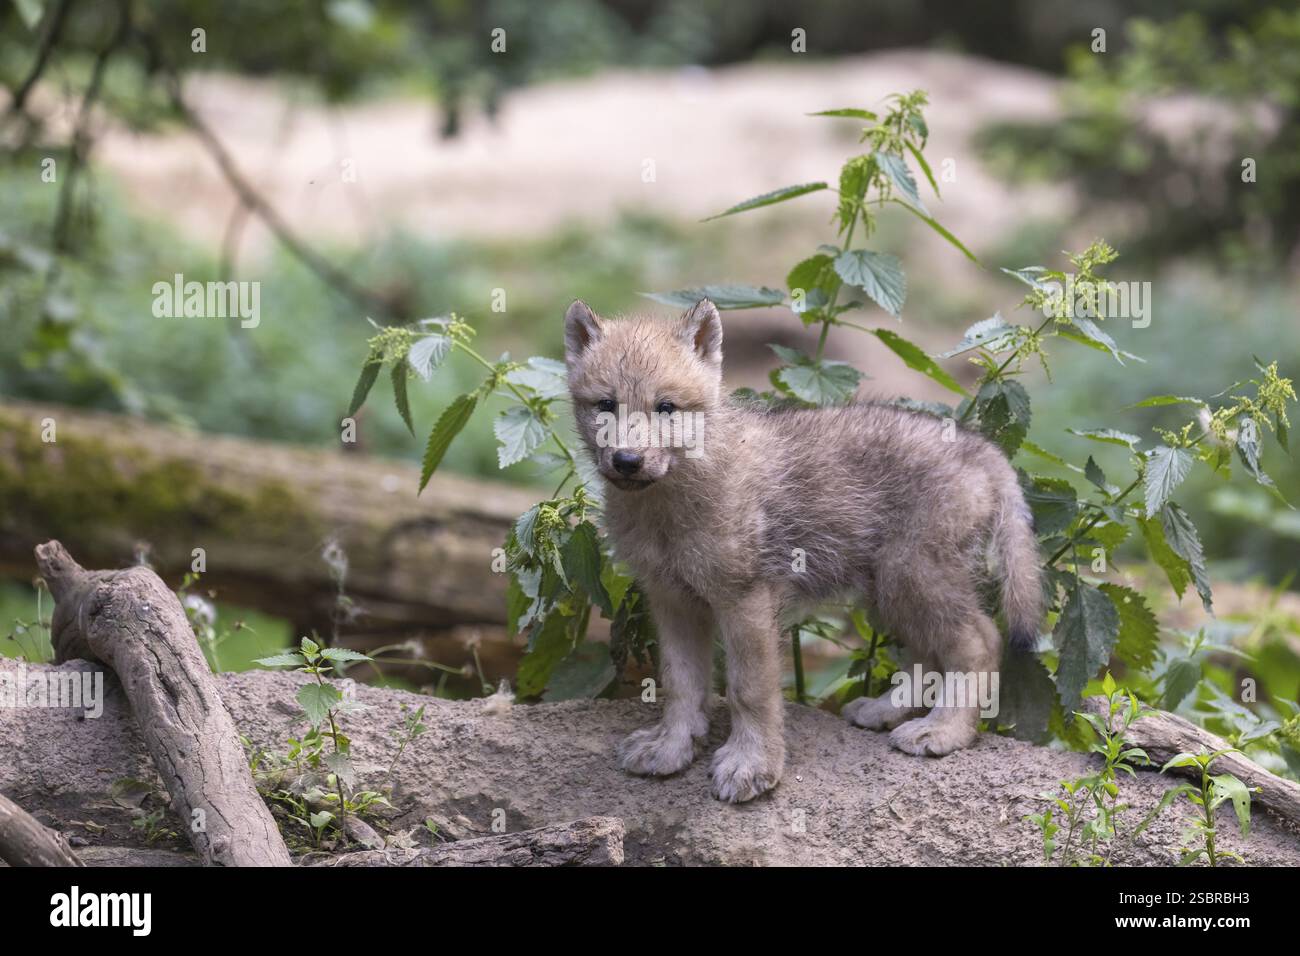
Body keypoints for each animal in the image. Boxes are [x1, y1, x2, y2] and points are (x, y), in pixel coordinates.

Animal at [563, 297, 1042, 803]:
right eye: (606, 405)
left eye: (666, 407)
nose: (627, 461)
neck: (668, 502)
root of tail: (981, 449)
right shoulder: (672, 599)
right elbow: (680, 683)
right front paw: (671, 747)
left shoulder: (745, 599)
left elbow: (749, 690)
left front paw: (752, 764)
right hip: (887, 589)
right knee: (925, 654)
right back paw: (884, 711)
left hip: (914, 577)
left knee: (979, 642)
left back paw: (945, 731)